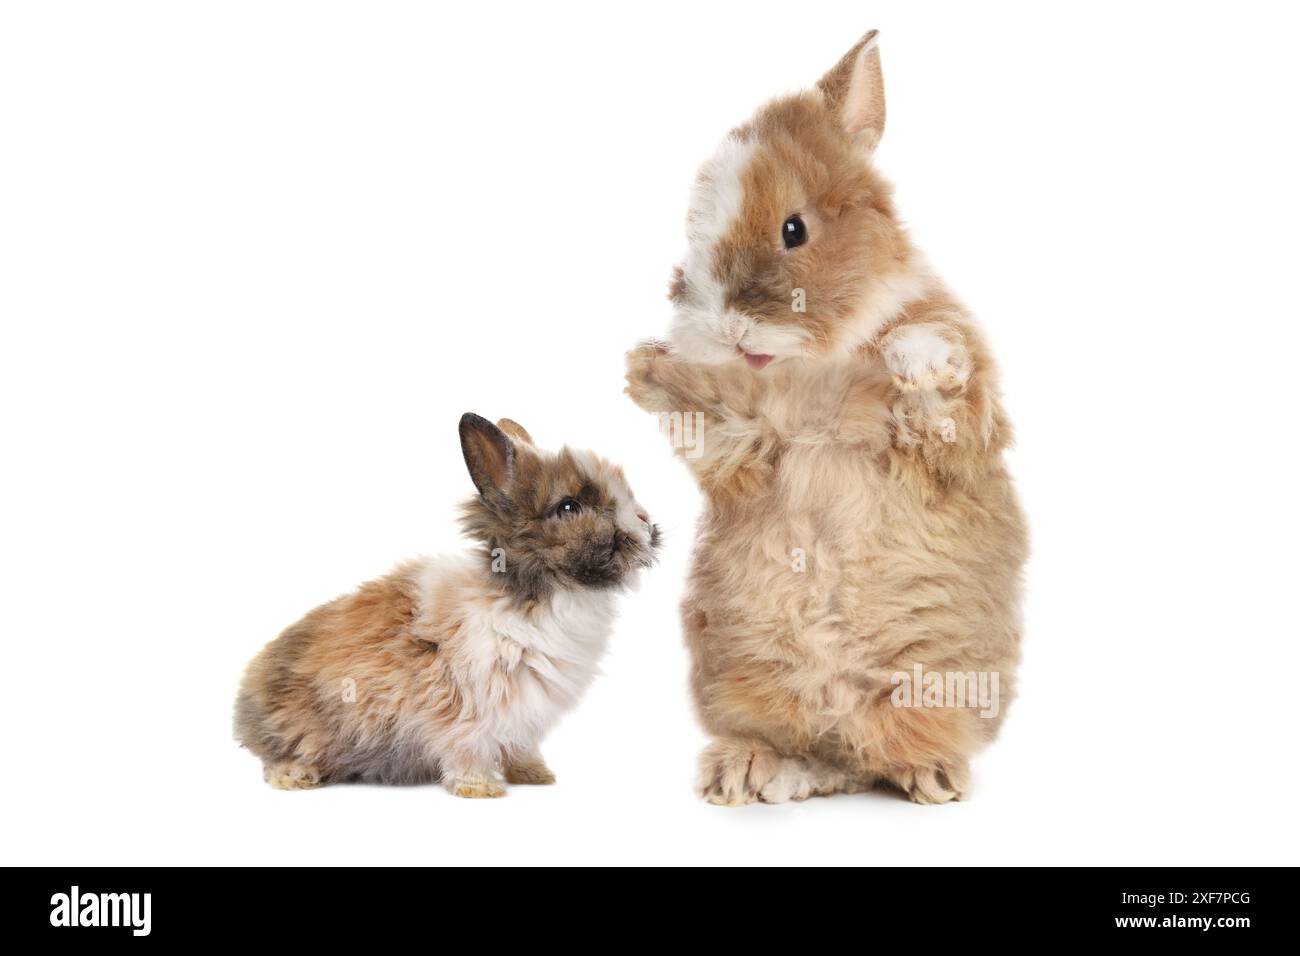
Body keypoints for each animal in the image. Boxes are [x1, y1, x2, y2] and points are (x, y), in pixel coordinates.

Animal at [234, 413, 661, 798]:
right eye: (569, 507)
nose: (645, 518)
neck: (534, 595)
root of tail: (243, 706)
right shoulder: (465, 703)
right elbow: (467, 744)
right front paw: (480, 789)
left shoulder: (524, 713)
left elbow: (520, 745)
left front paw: (536, 776)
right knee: (280, 757)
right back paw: (295, 778)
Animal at [625, 31, 1027, 805]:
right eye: (691, 243)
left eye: (794, 228)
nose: (728, 330)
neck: (813, 370)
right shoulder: (744, 452)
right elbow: (715, 422)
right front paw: (647, 367)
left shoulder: (956, 437)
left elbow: (941, 389)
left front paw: (915, 355)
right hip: (749, 680)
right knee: (812, 753)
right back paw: (745, 771)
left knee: (877, 756)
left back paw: (934, 775)